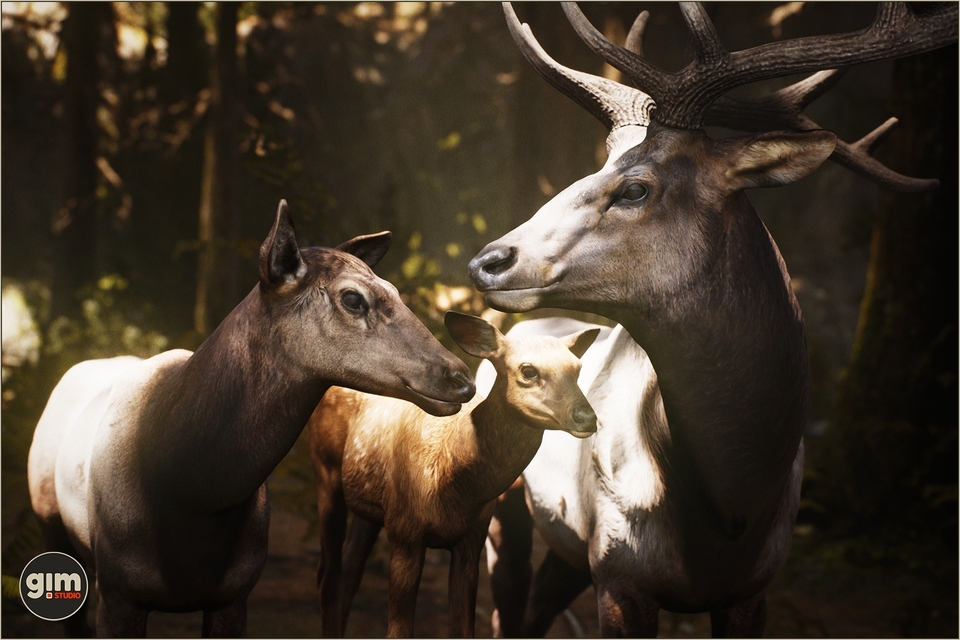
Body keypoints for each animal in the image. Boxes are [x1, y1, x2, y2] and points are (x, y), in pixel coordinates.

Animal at [26, 200, 476, 638]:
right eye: (352, 298)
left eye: (395, 291)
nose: (460, 378)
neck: (192, 496)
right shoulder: (119, 592)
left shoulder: (234, 594)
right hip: (50, 523)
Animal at [307, 311, 599, 638]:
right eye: (528, 370)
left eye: (577, 369)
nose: (587, 418)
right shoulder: (406, 532)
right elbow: (399, 629)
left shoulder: (471, 539)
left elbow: (462, 626)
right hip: (326, 470)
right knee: (328, 575)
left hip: (370, 505)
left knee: (348, 571)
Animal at [467, 3, 957, 637]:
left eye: (634, 188)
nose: (487, 261)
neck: (732, 512)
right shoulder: (620, 571)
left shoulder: (754, 587)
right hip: (507, 511)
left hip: (572, 550)